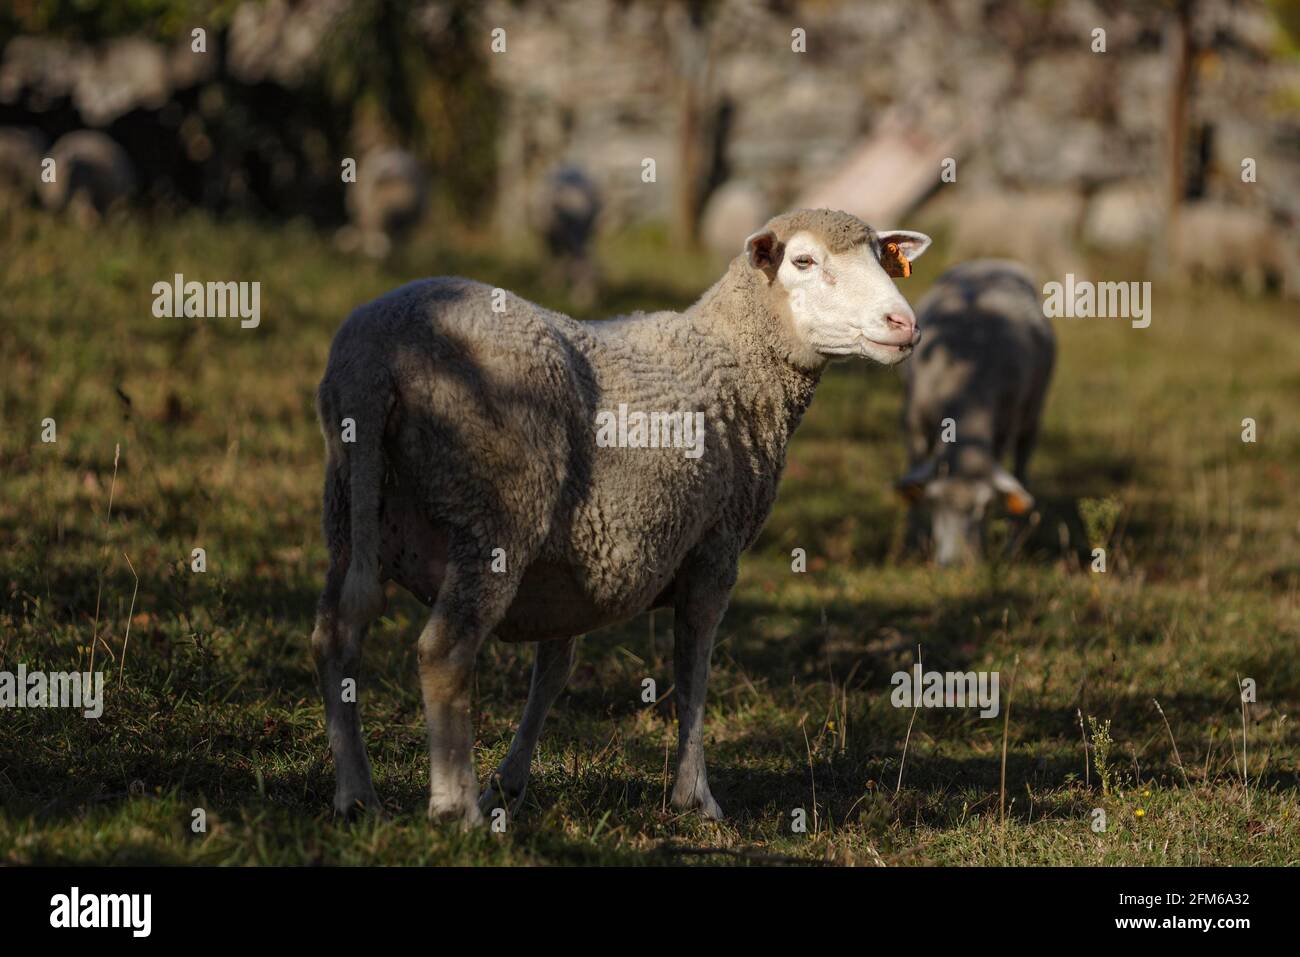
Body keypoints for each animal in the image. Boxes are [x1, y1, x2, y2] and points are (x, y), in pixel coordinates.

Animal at [312, 208, 932, 826]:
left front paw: (509, 785)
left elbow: (553, 671)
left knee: (337, 633)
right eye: (803, 261)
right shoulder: (715, 547)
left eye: (882, 257)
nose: (903, 323)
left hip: (355, 508)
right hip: (496, 510)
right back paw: (455, 810)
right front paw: (695, 796)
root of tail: (377, 355)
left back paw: (356, 796)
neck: (734, 361)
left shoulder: (568, 566)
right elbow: (693, 670)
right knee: (443, 650)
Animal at [896, 259, 1055, 566]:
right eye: (935, 501)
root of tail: (995, 261)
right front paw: (913, 542)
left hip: (1033, 412)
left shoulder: (1003, 429)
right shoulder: (915, 423)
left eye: (985, 507)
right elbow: (914, 477)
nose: (955, 563)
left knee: (1022, 464)